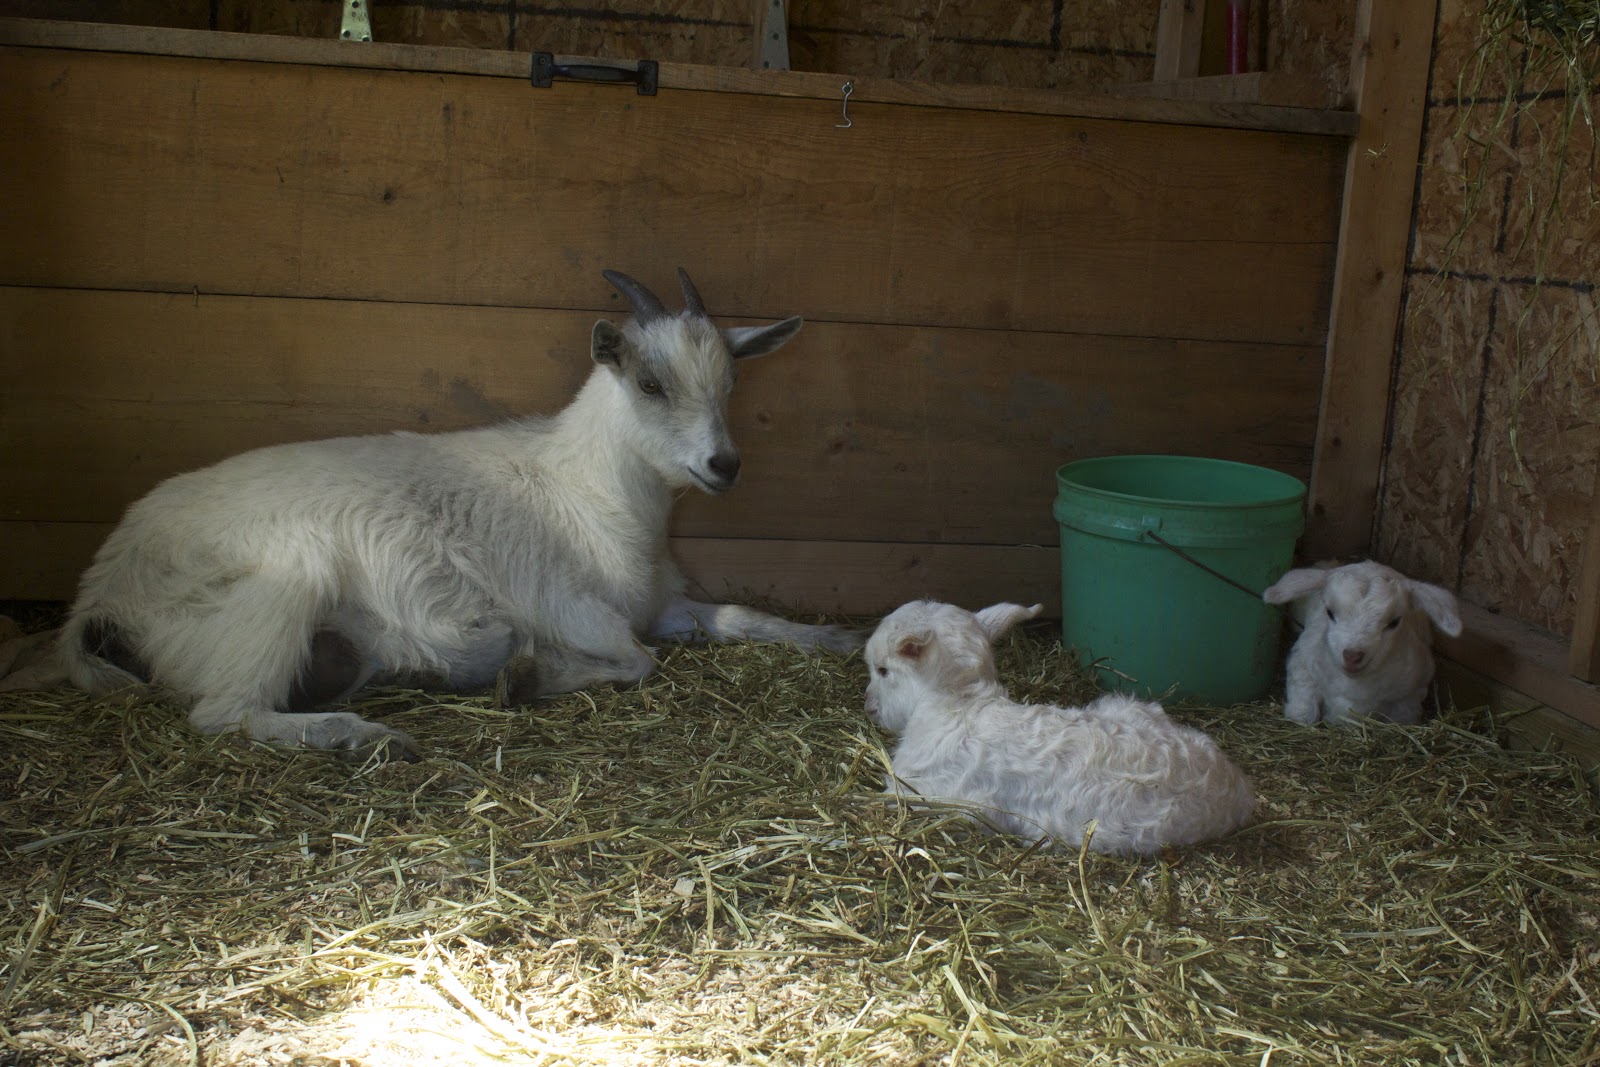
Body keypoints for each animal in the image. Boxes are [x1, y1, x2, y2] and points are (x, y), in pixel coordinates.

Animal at [59, 268, 863, 758]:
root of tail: (100, 595)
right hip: (281, 582)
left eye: (730, 382)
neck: (588, 491)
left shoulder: (661, 601)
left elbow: (740, 617)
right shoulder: (569, 605)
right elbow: (639, 660)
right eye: (648, 382)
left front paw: (839, 638)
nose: (724, 464)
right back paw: (365, 737)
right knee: (223, 712)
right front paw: (525, 677)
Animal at [1263, 560, 1462, 726]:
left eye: (1394, 622)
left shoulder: (1412, 692)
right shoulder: (1301, 665)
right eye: (1329, 612)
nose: (1352, 656)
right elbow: (1303, 714)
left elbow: (1400, 720)